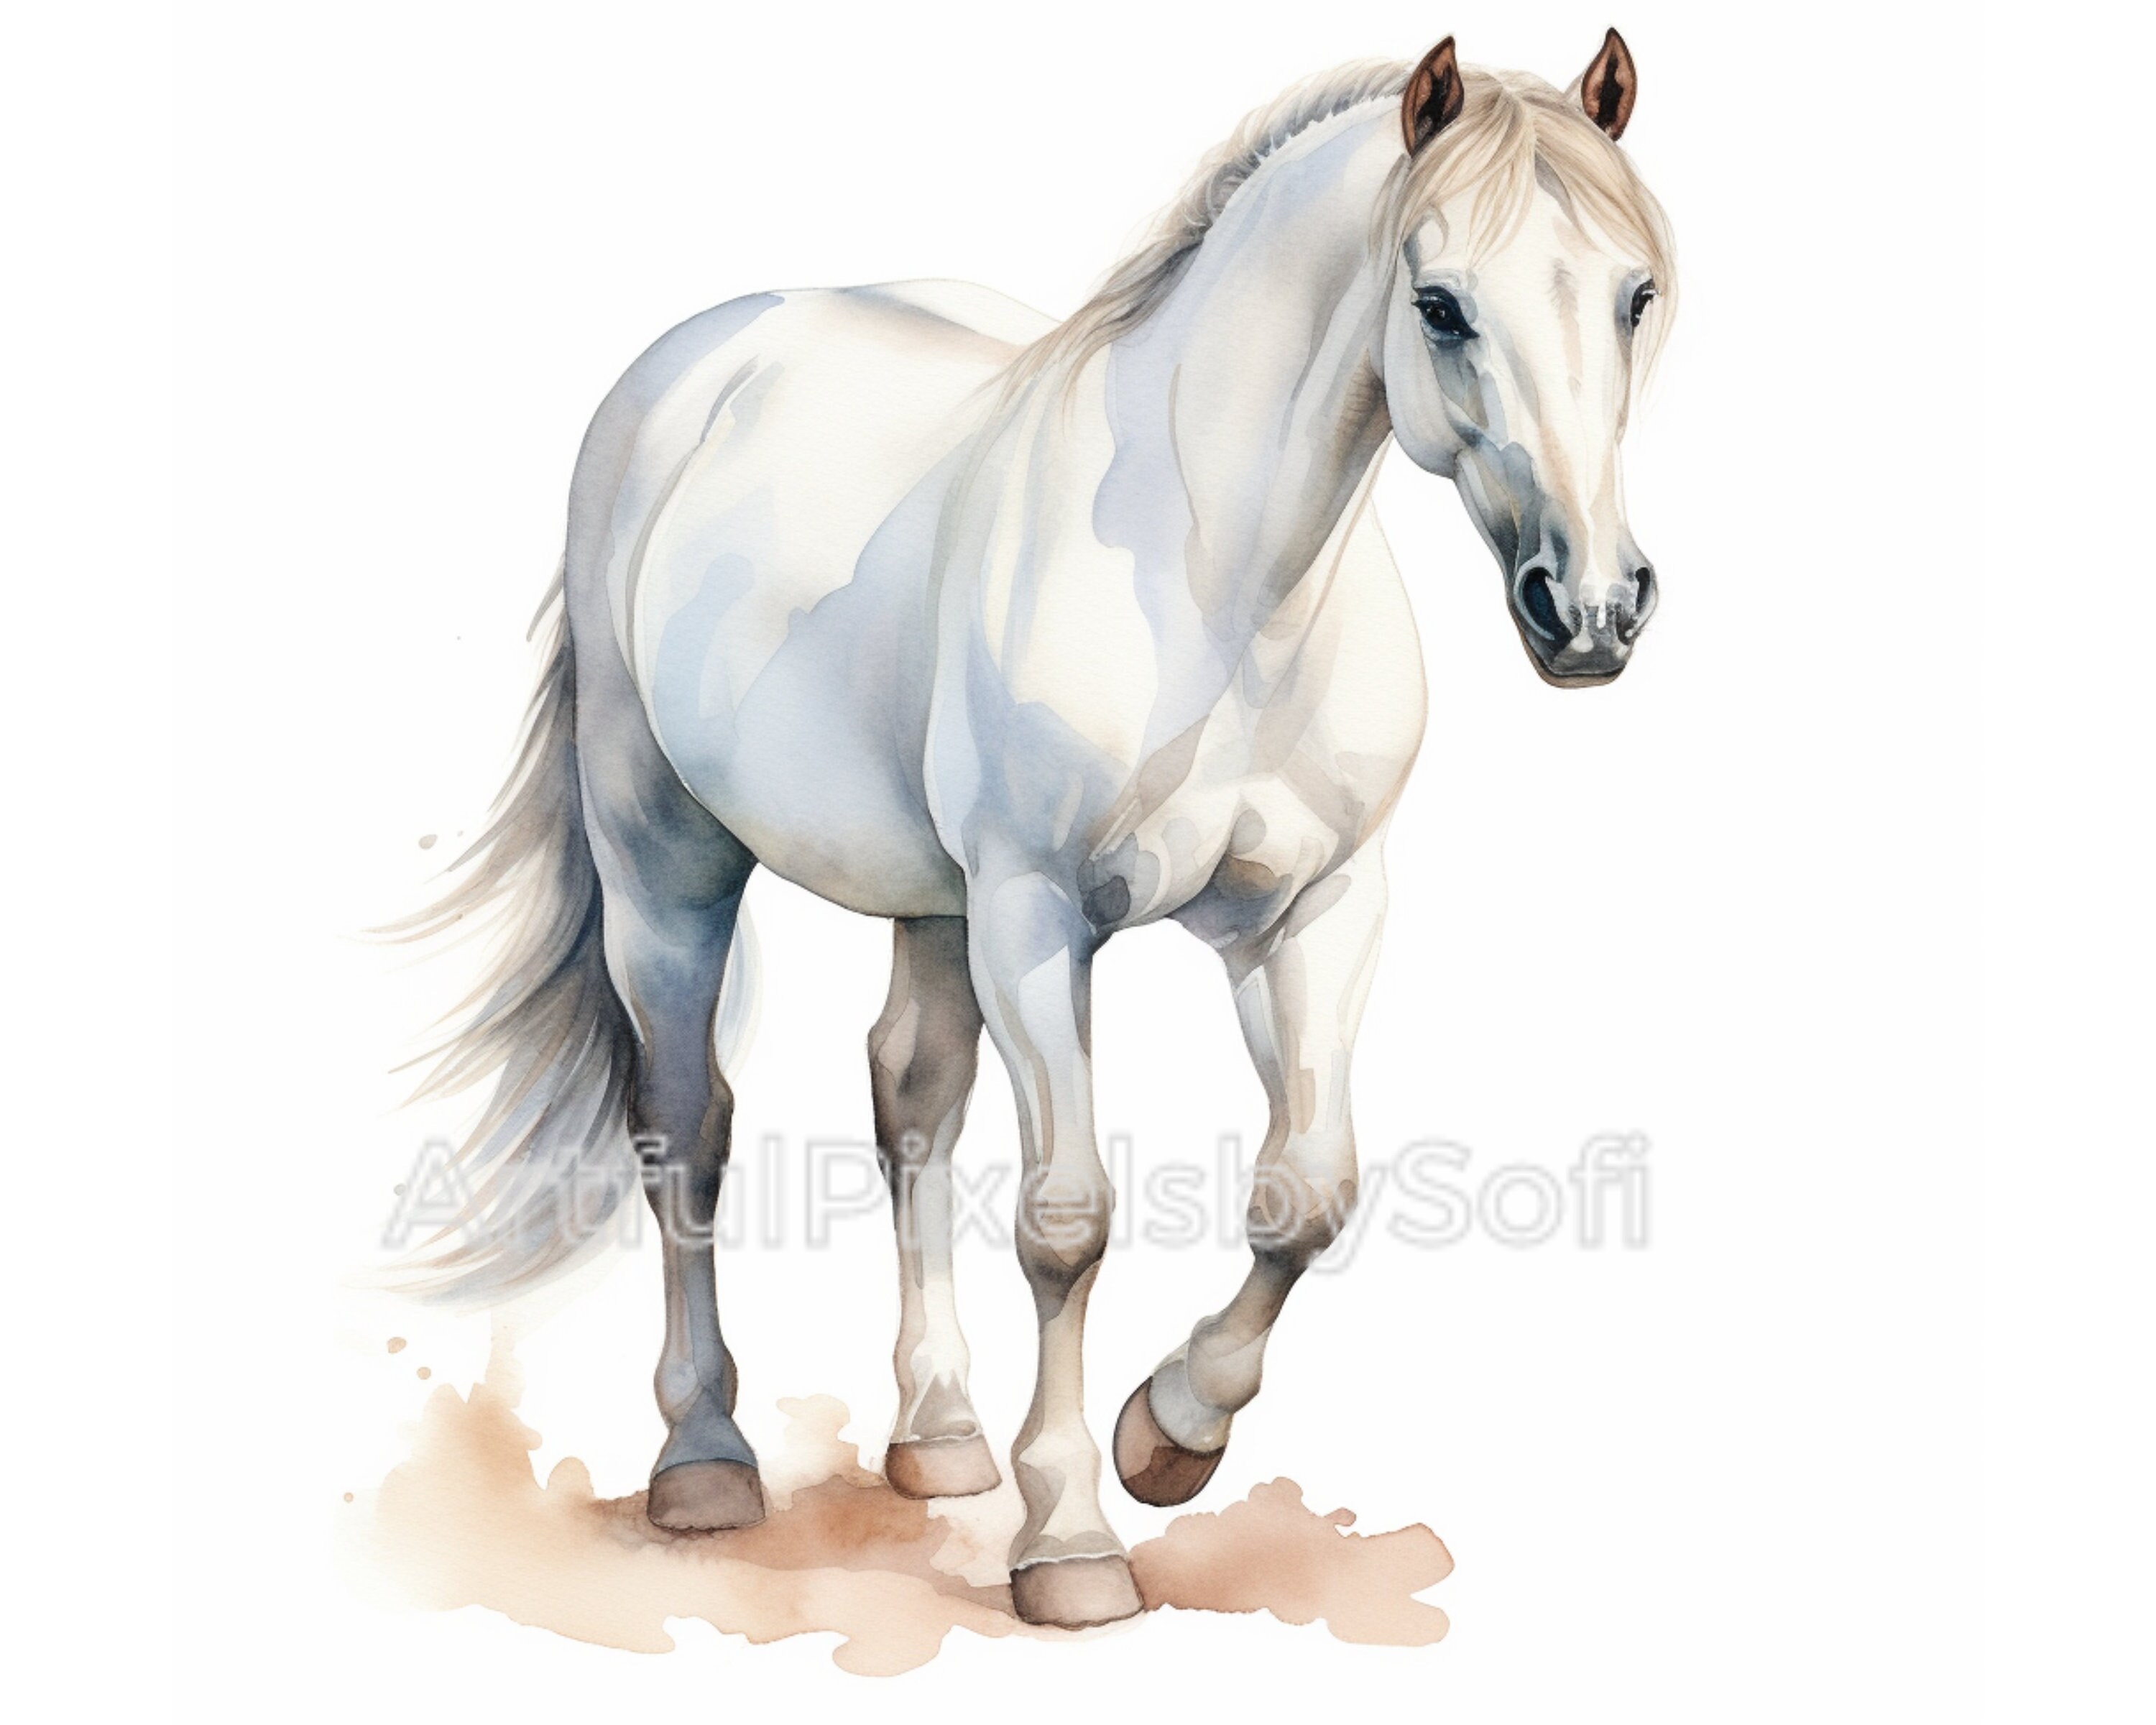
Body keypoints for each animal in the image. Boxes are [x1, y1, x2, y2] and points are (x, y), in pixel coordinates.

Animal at [395, 33, 1676, 1630]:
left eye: (1636, 293)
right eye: (1439, 304)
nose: (1594, 610)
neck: (1216, 581)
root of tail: (702, 364)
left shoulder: (1316, 910)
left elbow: (1307, 1191)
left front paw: (1170, 1438)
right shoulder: (1037, 915)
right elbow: (1068, 1222)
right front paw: (1069, 1536)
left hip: (929, 904)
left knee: (910, 1103)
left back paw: (939, 1439)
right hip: (669, 863)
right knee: (687, 1125)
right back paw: (704, 1460)